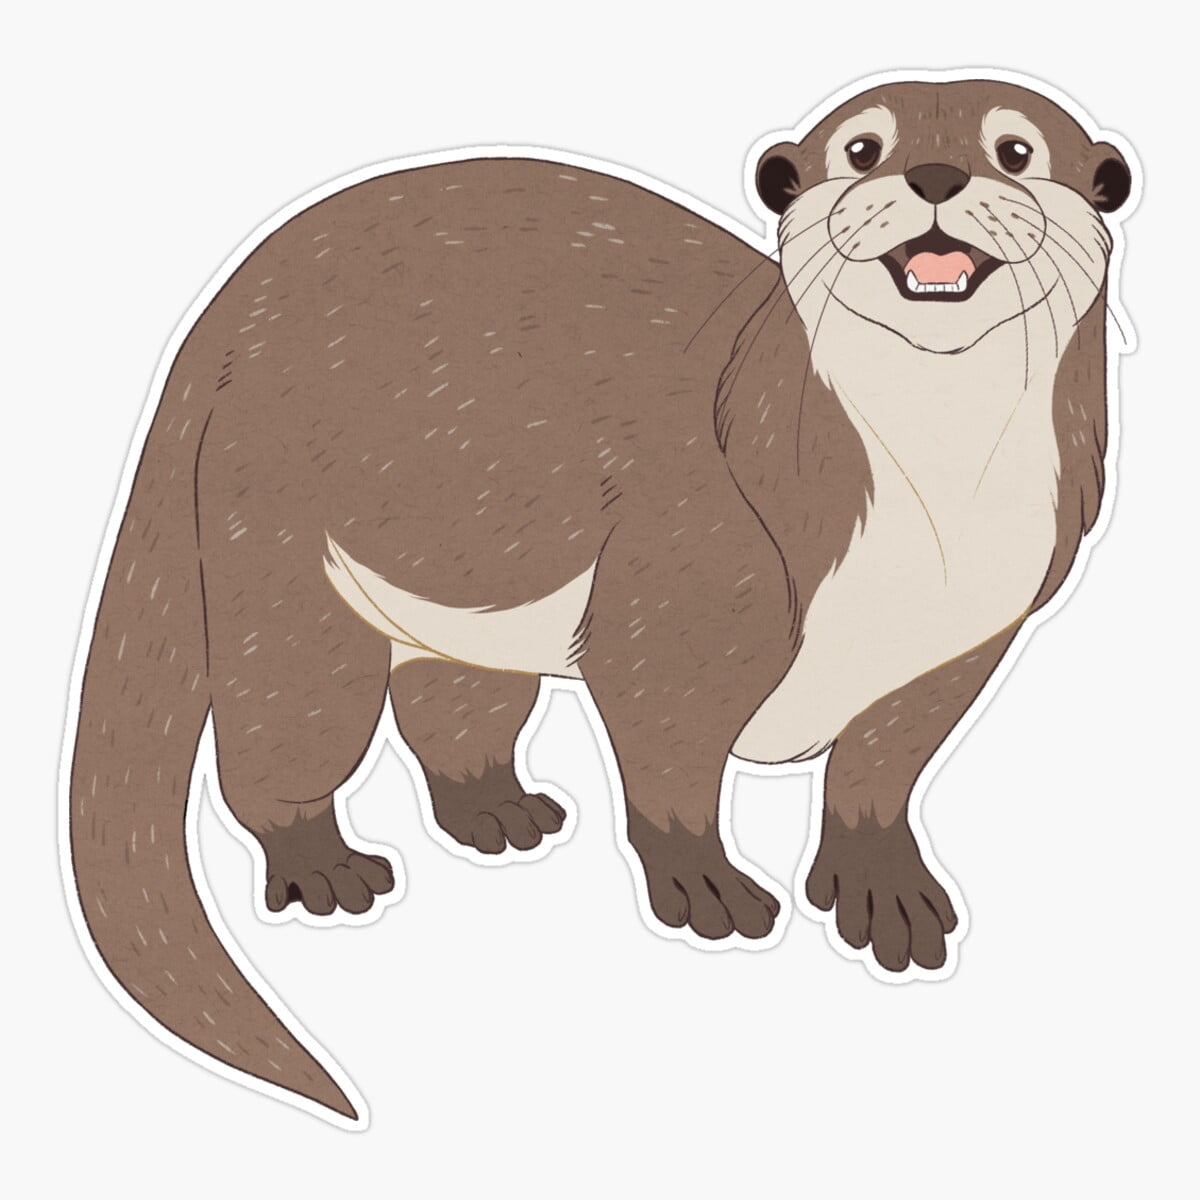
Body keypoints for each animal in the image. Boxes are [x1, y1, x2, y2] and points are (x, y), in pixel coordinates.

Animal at [64, 74, 1134, 1124]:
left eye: (1015, 150)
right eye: (863, 148)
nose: (937, 174)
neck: (933, 527)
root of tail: (216, 318)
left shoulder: (968, 642)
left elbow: (882, 769)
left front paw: (885, 893)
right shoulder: (686, 580)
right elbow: (667, 756)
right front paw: (706, 888)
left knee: (451, 703)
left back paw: (498, 809)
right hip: (275, 541)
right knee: (285, 724)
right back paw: (323, 867)